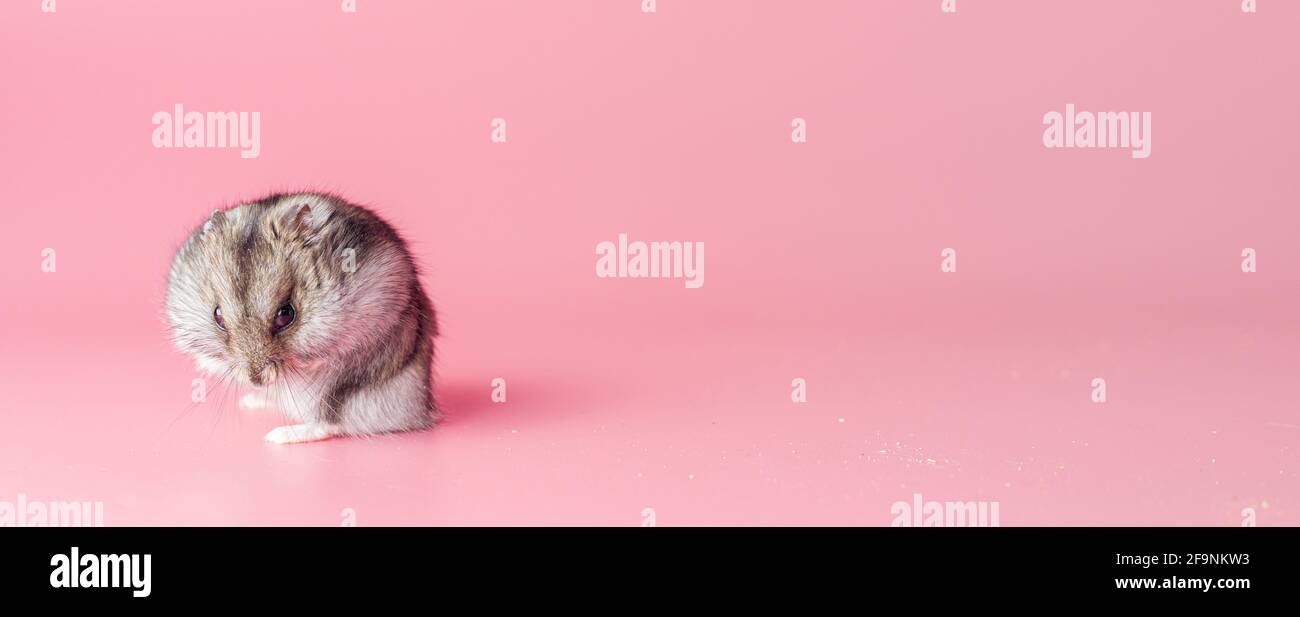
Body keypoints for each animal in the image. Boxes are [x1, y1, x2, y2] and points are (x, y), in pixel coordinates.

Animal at [165, 192, 438, 444]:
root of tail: (421, 410)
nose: (257, 381)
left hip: (340, 389)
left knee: (329, 424)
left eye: (286, 314)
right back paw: (253, 401)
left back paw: (278, 436)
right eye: (218, 316)